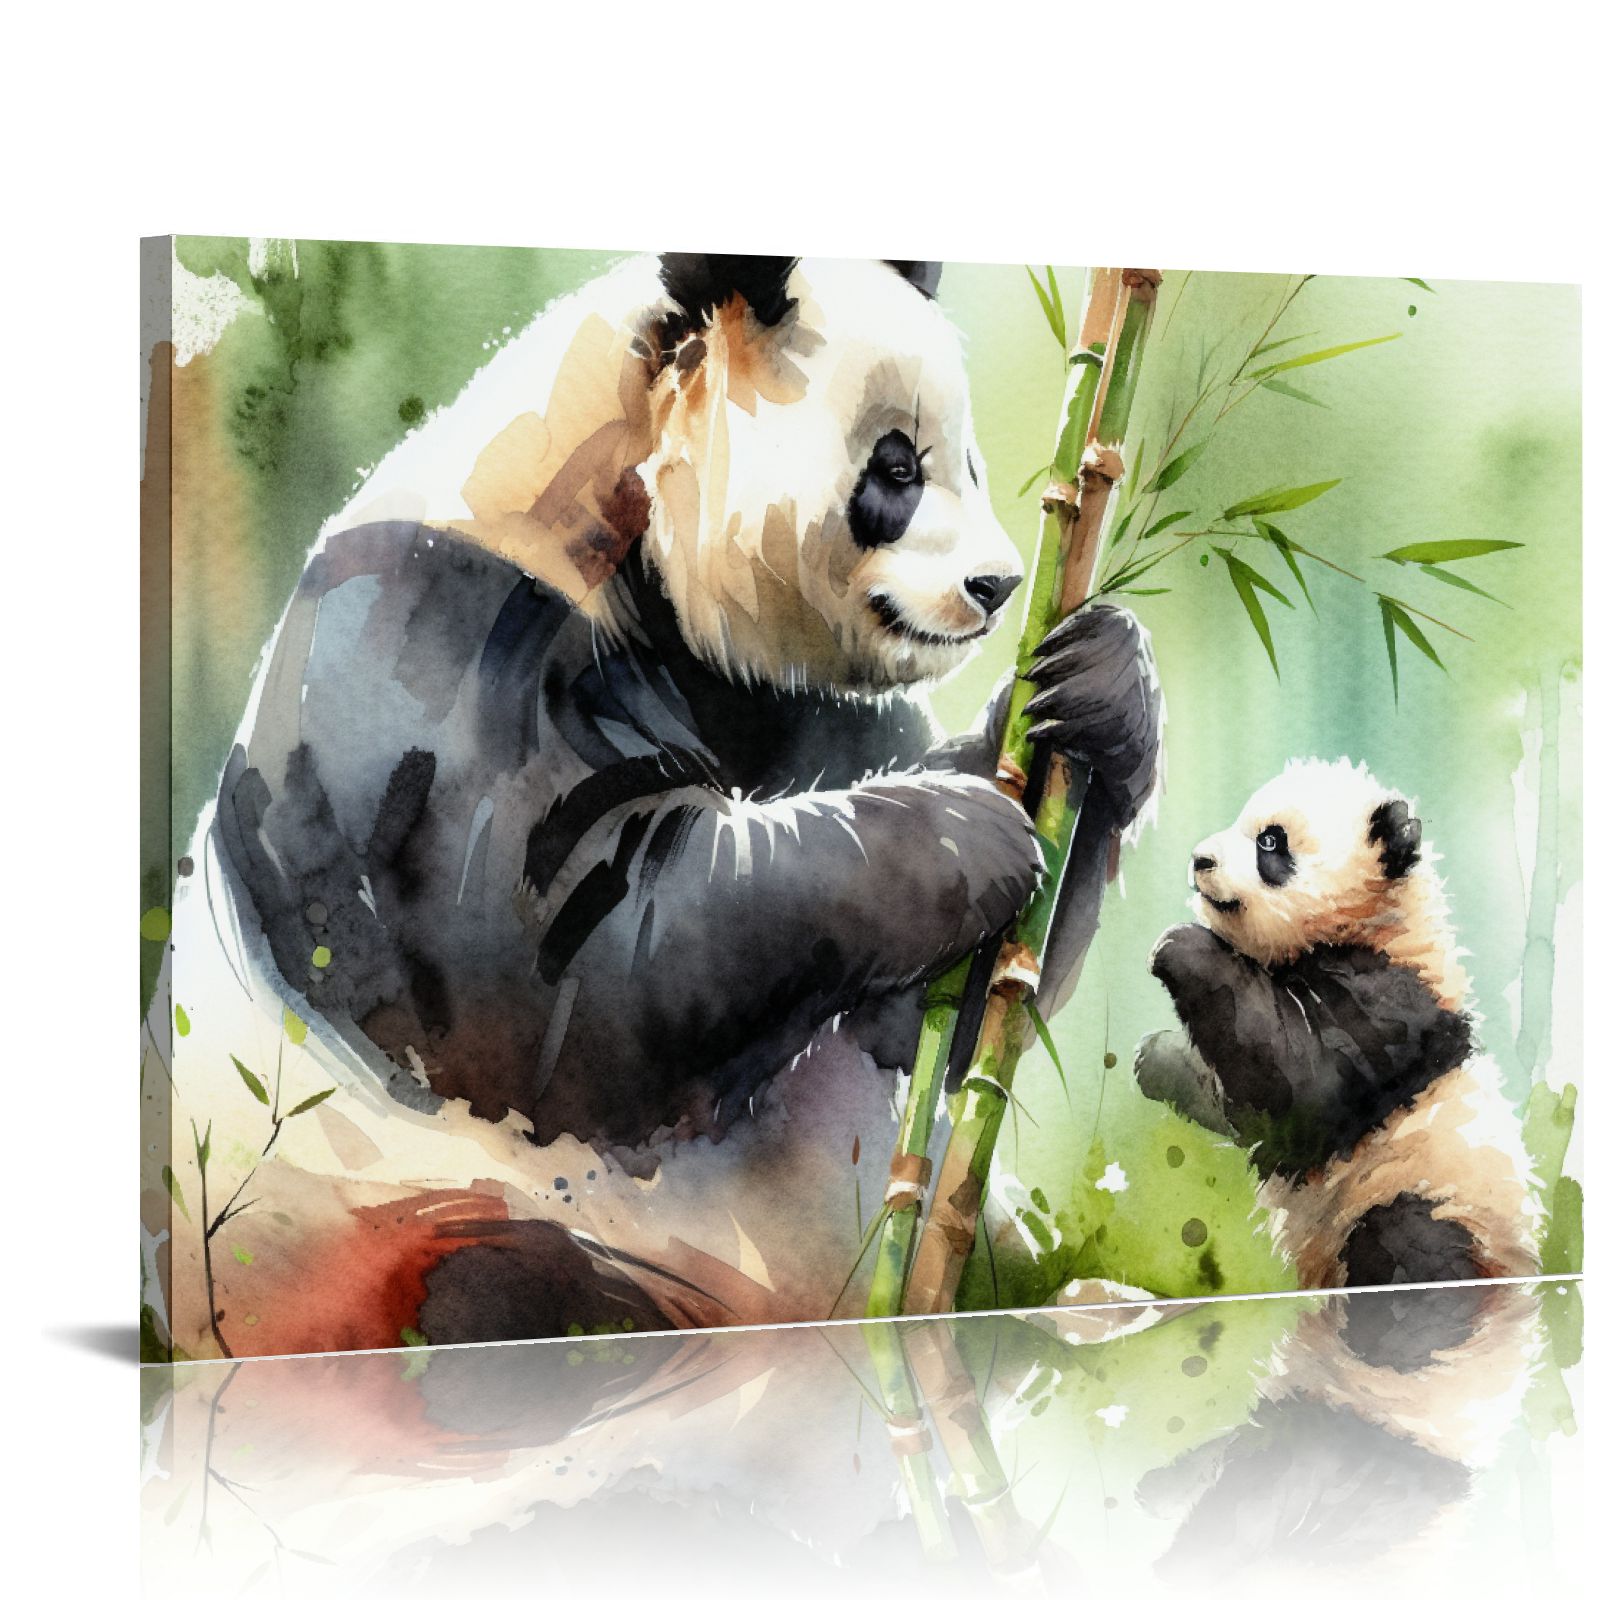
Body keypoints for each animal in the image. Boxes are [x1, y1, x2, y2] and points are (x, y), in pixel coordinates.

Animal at [185, 252, 1162, 1350]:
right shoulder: (437, 643)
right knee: (500, 1287)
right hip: (390, 1229)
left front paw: (1090, 691)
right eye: (897, 470)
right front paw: (968, 833)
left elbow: (910, 1032)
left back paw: (1085, 1309)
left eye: (974, 467)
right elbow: (575, 975)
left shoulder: (802, 705)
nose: (997, 587)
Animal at [1134, 757, 1539, 1290]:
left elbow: (1303, 1080)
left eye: (1271, 843)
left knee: (1409, 1248)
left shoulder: (1388, 1000)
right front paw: (1156, 1057)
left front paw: (1181, 947)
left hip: (1432, 1195)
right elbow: (1244, 1101)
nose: (1201, 860)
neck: (1372, 921)